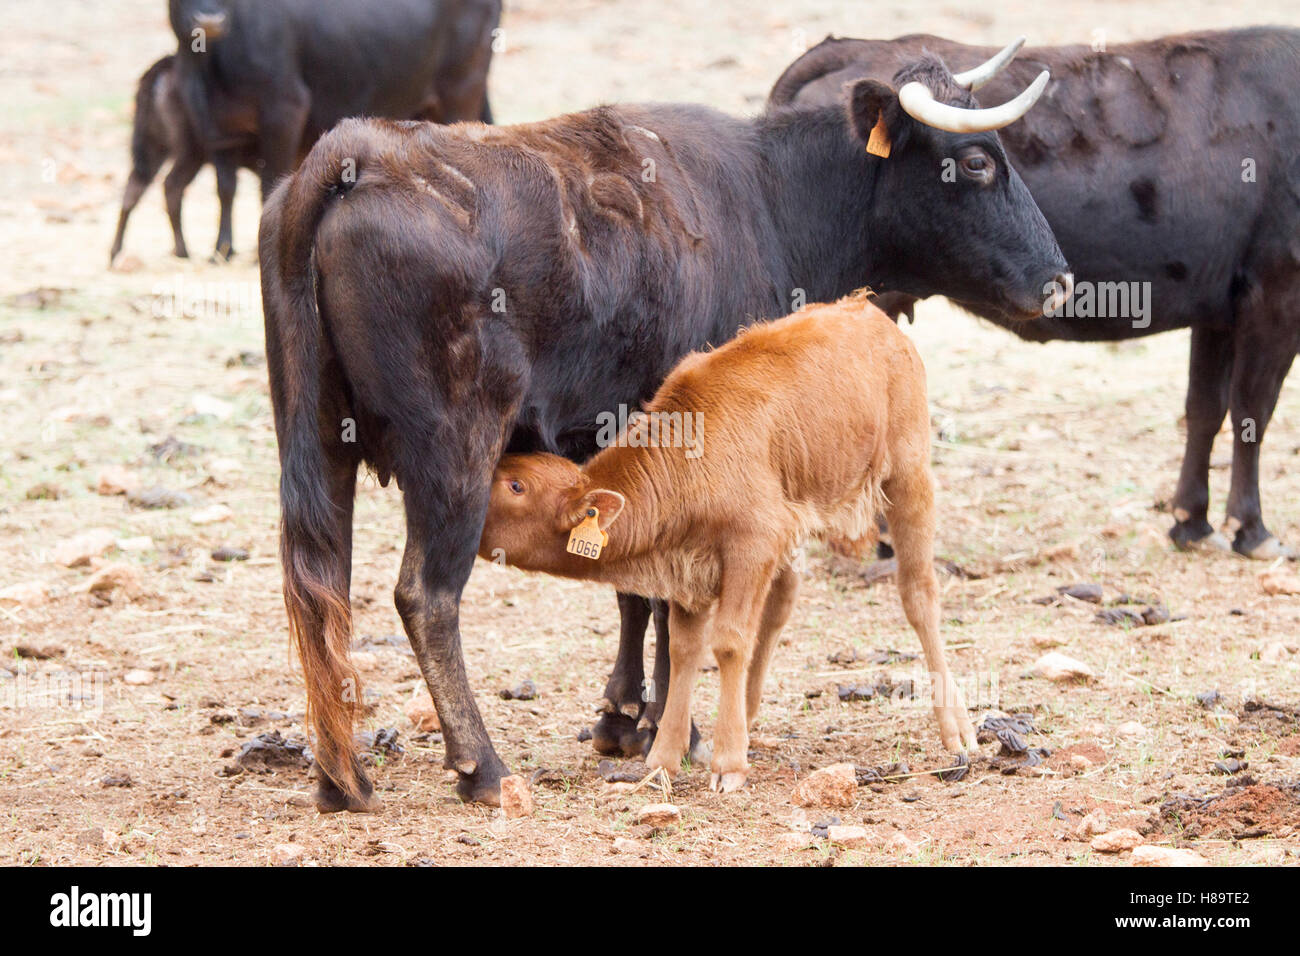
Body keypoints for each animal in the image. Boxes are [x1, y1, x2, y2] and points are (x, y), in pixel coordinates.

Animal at [153, 0, 499, 259]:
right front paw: (222, 249)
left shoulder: (285, 111)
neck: (210, 70)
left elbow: (269, 184)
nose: (209, 19)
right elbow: (225, 188)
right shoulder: (218, 130)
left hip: (461, 92)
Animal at [478, 292, 977, 792]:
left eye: (516, 486)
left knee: (919, 595)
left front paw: (727, 764)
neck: (688, 453)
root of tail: (865, 308)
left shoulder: (751, 544)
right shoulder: (690, 566)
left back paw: (956, 728)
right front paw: (664, 758)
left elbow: (730, 641)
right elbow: (683, 648)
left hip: (909, 478)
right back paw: (749, 716)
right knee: (781, 602)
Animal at [769, 28, 1300, 562]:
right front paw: (1252, 528)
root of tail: (856, 44)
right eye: (977, 162)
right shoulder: (1277, 295)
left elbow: (1205, 410)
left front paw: (1192, 521)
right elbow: (1253, 410)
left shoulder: (1219, 311)